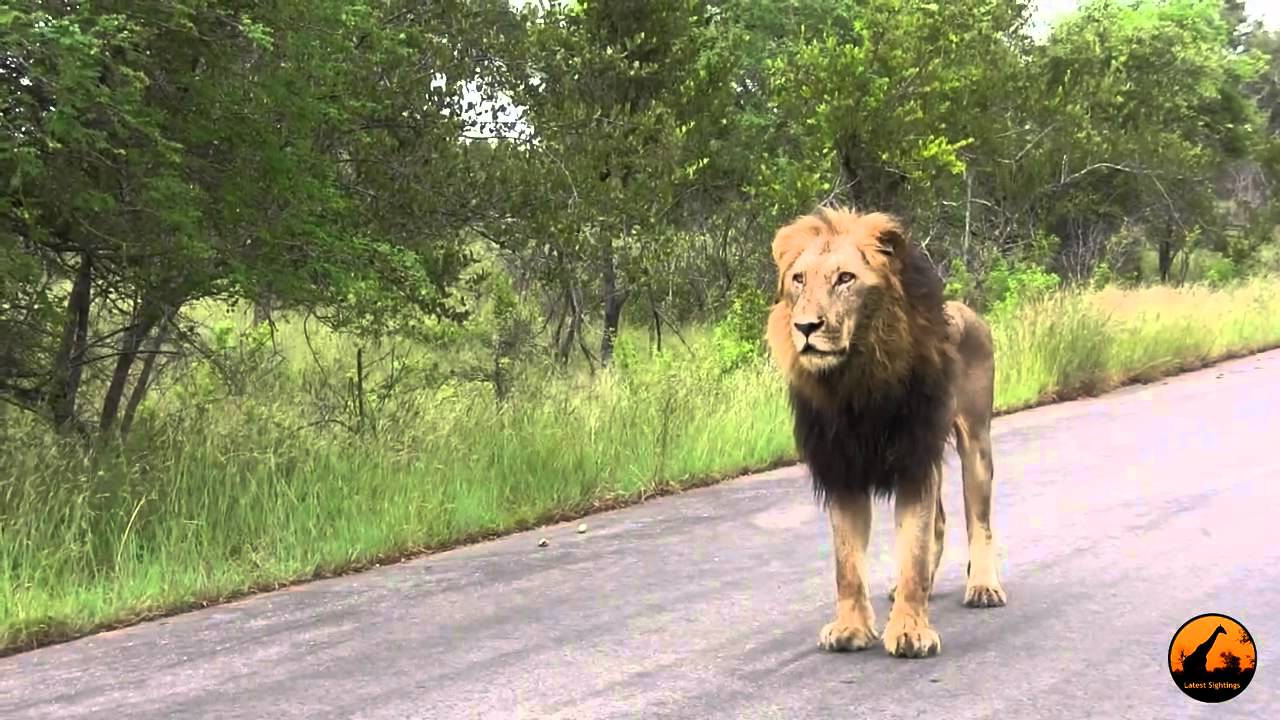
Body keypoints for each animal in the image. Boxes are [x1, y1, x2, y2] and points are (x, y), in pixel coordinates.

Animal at [765, 205, 1007, 659]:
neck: (855, 381)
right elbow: (847, 565)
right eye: (799, 279)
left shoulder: (914, 462)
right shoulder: (842, 470)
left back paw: (984, 587)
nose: (806, 327)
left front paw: (911, 631)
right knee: (940, 522)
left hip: (976, 443)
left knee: (978, 520)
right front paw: (850, 629)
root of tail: (968, 310)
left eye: (845, 278)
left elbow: (912, 550)